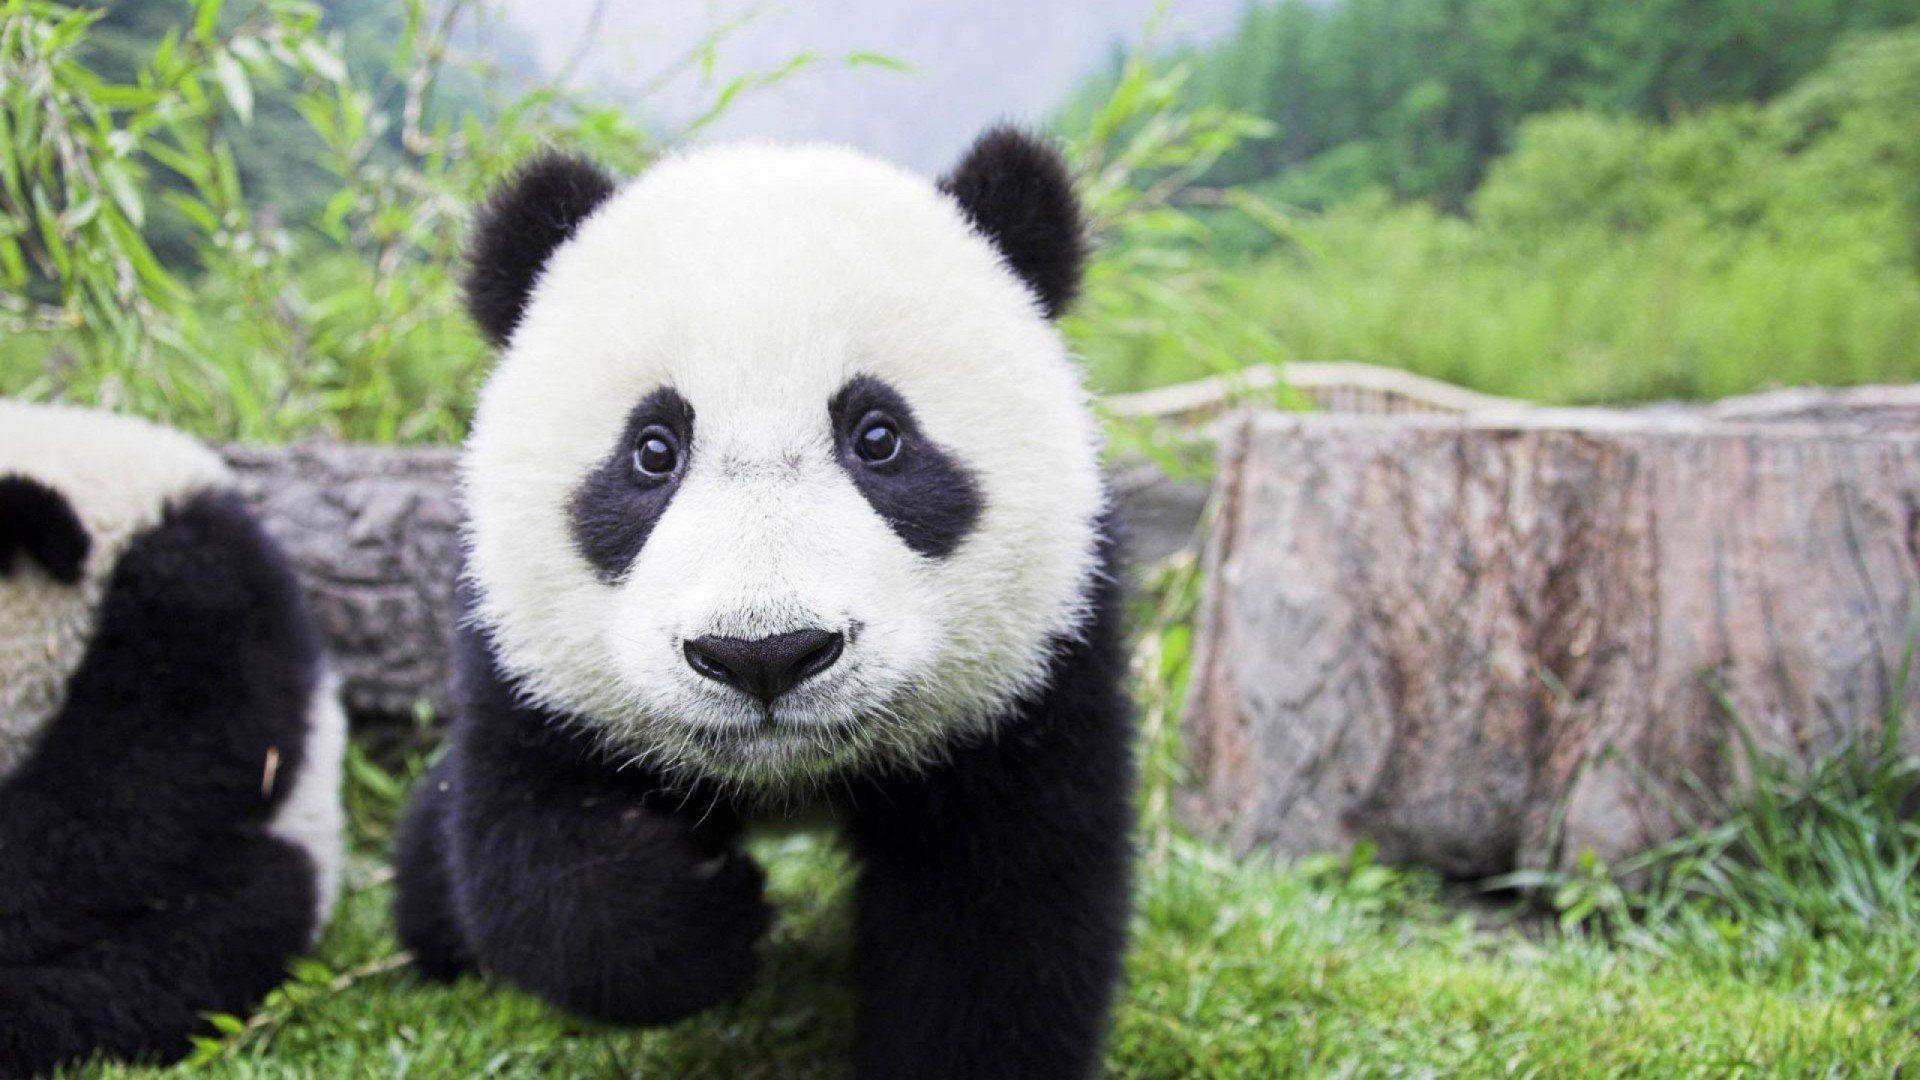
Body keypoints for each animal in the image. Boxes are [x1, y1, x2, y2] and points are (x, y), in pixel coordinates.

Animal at [392, 127, 1135, 1079]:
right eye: (653, 449)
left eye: (879, 437)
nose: (764, 654)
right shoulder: (520, 658)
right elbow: (536, 853)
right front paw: (706, 912)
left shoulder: (1041, 662)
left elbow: (1003, 913)